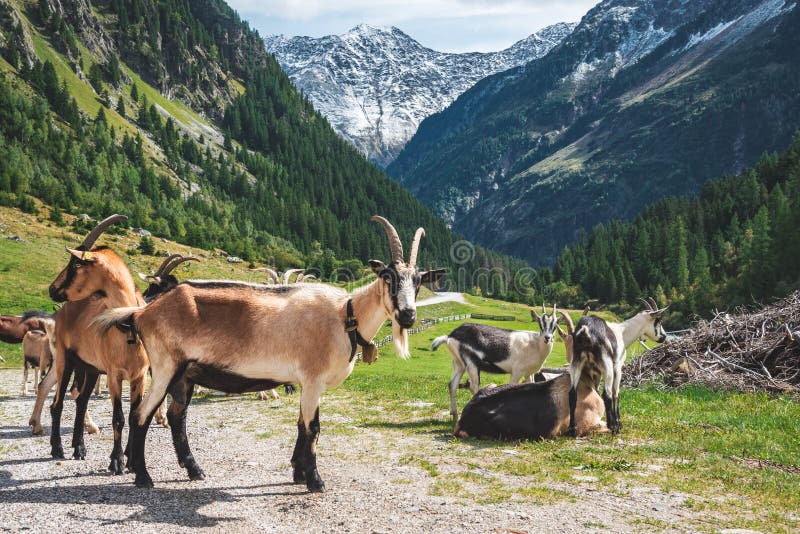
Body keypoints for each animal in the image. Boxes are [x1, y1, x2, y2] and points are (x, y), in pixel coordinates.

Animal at [29, 215, 176, 477]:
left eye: (75, 264)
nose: (52, 289)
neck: (128, 326)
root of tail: (60, 313)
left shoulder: (139, 376)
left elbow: (134, 414)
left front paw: (130, 460)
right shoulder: (115, 375)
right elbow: (118, 417)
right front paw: (116, 461)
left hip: (90, 368)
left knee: (80, 401)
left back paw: (79, 448)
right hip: (66, 361)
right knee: (57, 403)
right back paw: (58, 448)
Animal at [97, 215, 445, 491]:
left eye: (418, 281)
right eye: (387, 276)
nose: (408, 316)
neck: (345, 315)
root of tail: (144, 312)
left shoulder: (308, 384)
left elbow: (303, 425)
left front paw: (297, 472)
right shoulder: (313, 379)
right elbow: (313, 427)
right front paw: (315, 481)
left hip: (184, 374)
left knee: (176, 417)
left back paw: (194, 470)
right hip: (165, 367)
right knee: (141, 415)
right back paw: (143, 477)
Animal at [567, 298, 667, 436]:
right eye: (658, 321)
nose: (664, 337)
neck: (622, 333)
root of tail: (585, 332)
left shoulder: (595, 372)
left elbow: (597, 392)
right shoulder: (618, 367)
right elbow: (616, 393)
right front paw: (619, 423)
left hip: (576, 363)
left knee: (572, 393)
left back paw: (573, 429)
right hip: (607, 366)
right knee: (607, 394)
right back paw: (613, 427)